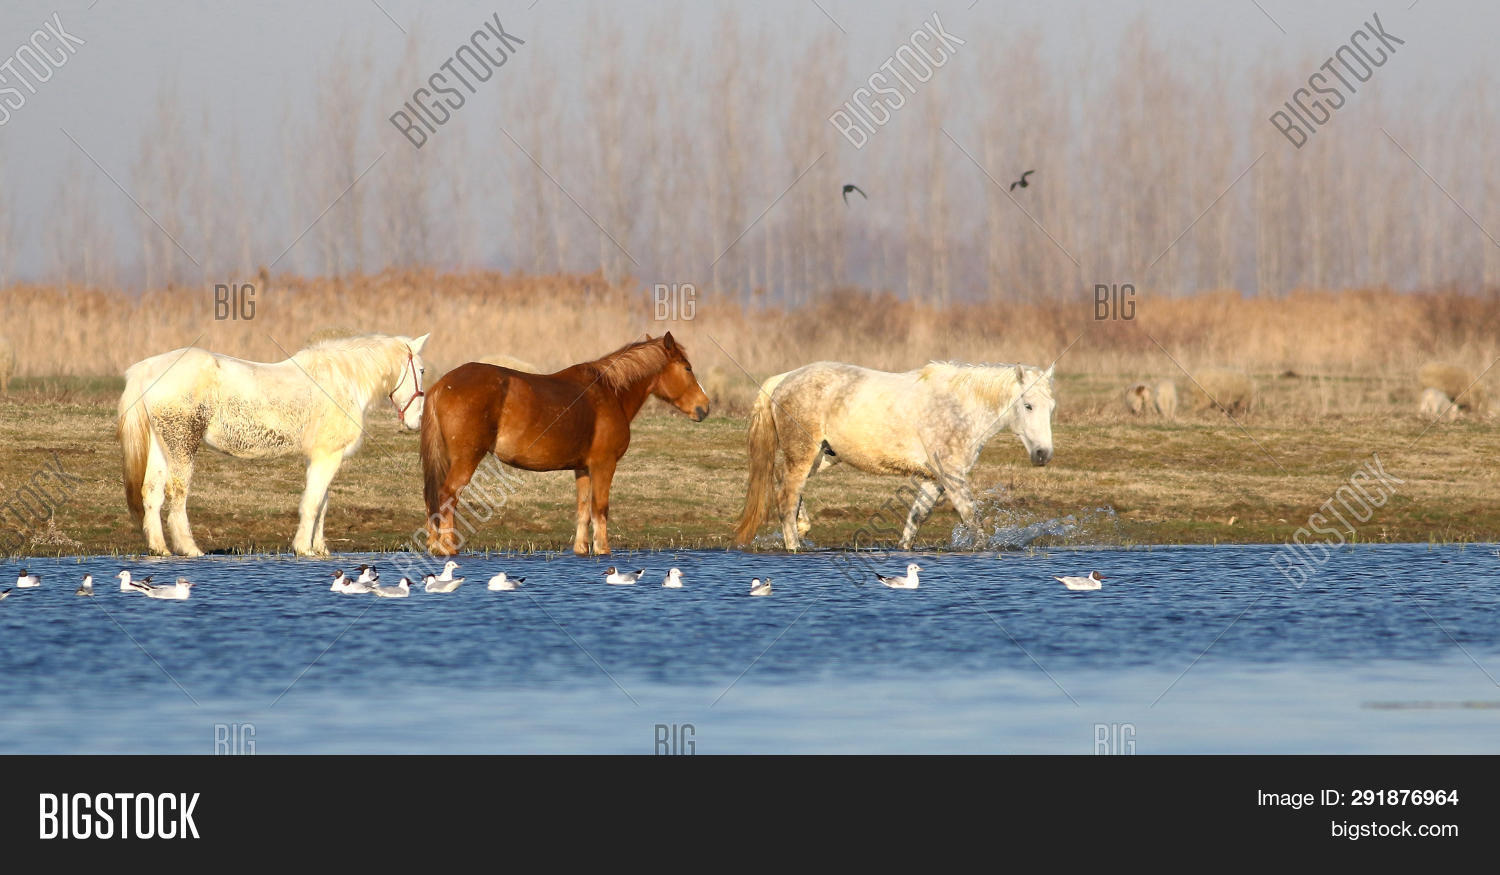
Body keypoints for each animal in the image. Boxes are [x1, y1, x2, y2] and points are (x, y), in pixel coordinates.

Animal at [118, 333, 430, 556]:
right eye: (422, 370)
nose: (417, 420)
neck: (342, 380)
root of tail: (146, 370)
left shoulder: (319, 457)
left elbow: (322, 502)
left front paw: (319, 548)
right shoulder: (328, 456)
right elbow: (313, 502)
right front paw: (304, 548)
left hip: (162, 446)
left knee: (152, 493)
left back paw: (159, 548)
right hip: (182, 444)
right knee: (177, 492)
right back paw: (189, 548)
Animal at [421, 332, 710, 556]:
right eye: (687, 368)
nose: (704, 407)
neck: (609, 392)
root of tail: (442, 385)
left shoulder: (582, 468)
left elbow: (583, 509)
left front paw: (581, 548)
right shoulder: (604, 465)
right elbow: (600, 509)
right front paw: (603, 549)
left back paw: (435, 544)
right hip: (466, 459)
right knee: (448, 496)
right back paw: (448, 547)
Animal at [733, 360, 1055, 551]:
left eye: (1051, 407)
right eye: (1028, 405)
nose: (1043, 454)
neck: (960, 408)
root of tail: (784, 379)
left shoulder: (934, 480)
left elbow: (915, 519)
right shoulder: (952, 476)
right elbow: (972, 518)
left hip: (821, 457)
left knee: (785, 484)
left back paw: (803, 527)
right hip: (803, 453)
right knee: (786, 497)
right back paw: (794, 545)